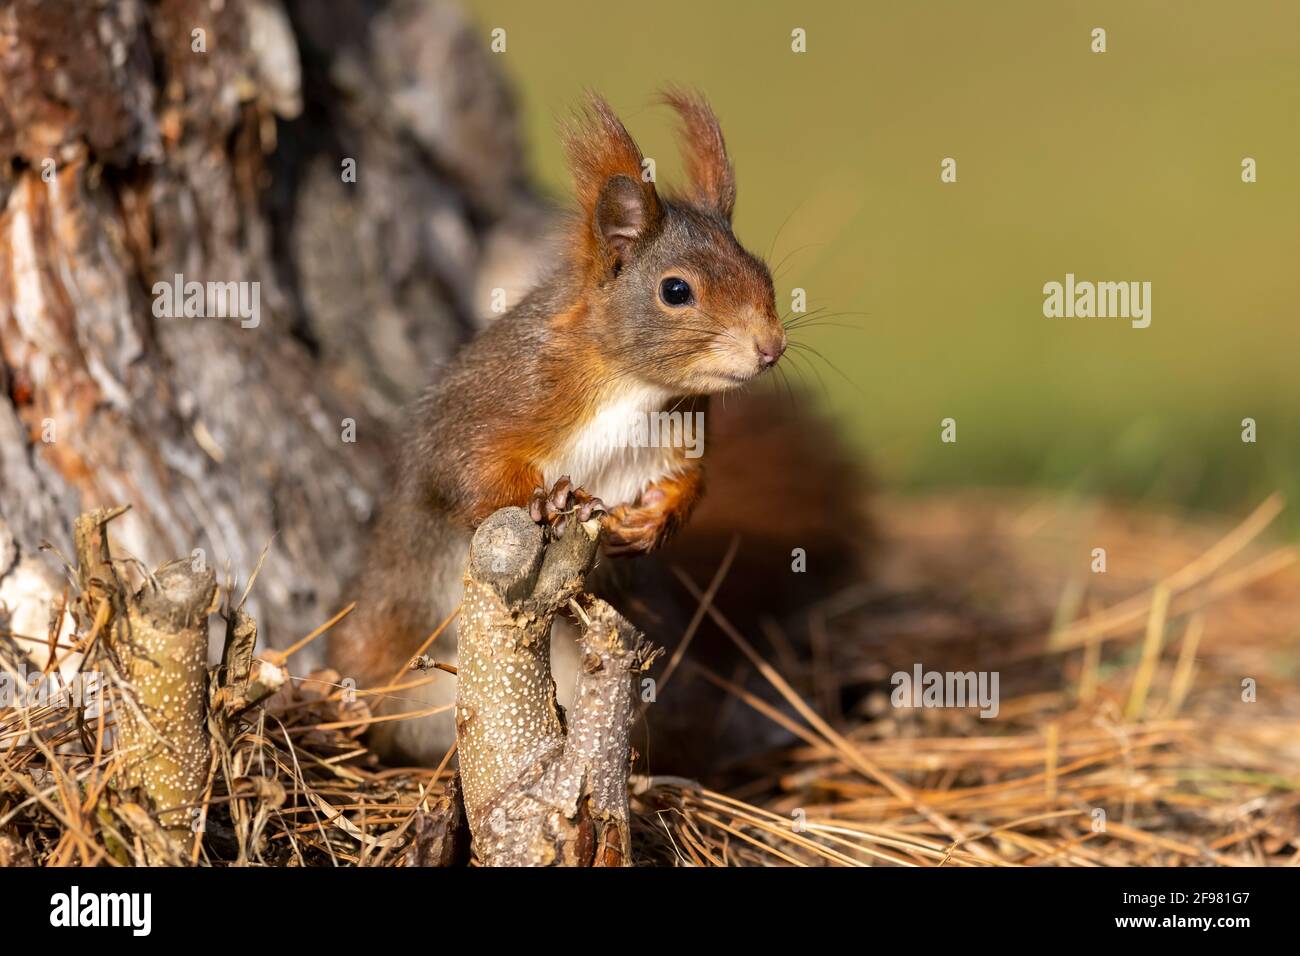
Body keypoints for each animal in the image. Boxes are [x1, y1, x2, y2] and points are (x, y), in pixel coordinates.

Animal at [328, 91, 868, 770]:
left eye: (763, 273)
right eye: (675, 290)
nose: (771, 349)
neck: (631, 387)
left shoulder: (680, 435)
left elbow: (691, 483)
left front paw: (652, 521)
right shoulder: (494, 400)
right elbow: (467, 471)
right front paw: (543, 499)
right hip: (379, 645)